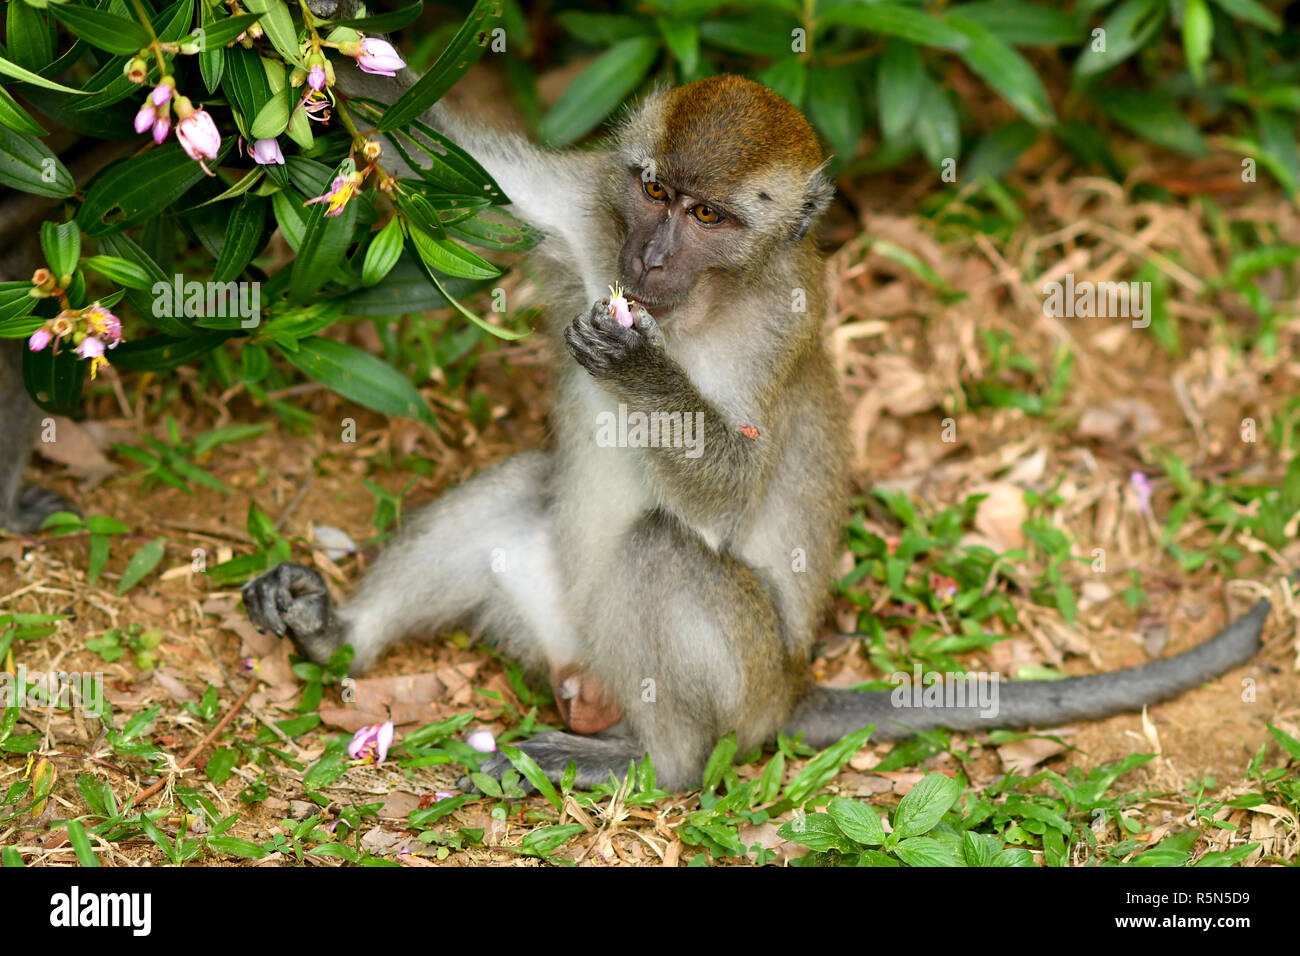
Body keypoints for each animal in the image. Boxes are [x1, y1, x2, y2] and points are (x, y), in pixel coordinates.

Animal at [241, 38, 1277, 791]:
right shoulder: (586, 211)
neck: (697, 304)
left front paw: (647, 374)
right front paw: (293, 50)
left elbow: (732, 492)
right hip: (556, 613)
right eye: (655, 193)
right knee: (525, 491)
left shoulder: (779, 325)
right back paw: (335, 633)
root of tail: (791, 690)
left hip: (742, 683)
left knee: (662, 549)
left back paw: (658, 764)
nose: (650, 260)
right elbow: (433, 158)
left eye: (711, 217)